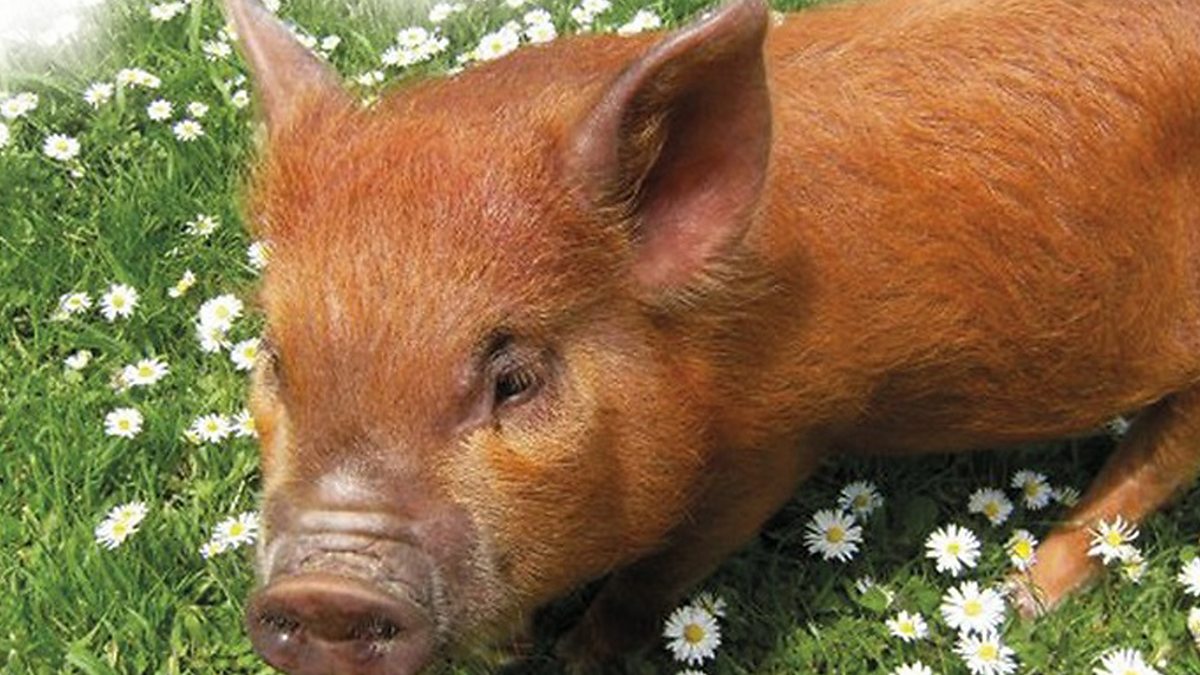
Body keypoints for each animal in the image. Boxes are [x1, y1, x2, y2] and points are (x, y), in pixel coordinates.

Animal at [226, 0, 1200, 671]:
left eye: (516, 378)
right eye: (275, 358)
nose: (323, 591)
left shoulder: (773, 446)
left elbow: (651, 581)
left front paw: (577, 656)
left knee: (1155, 459)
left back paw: (1023, 597)